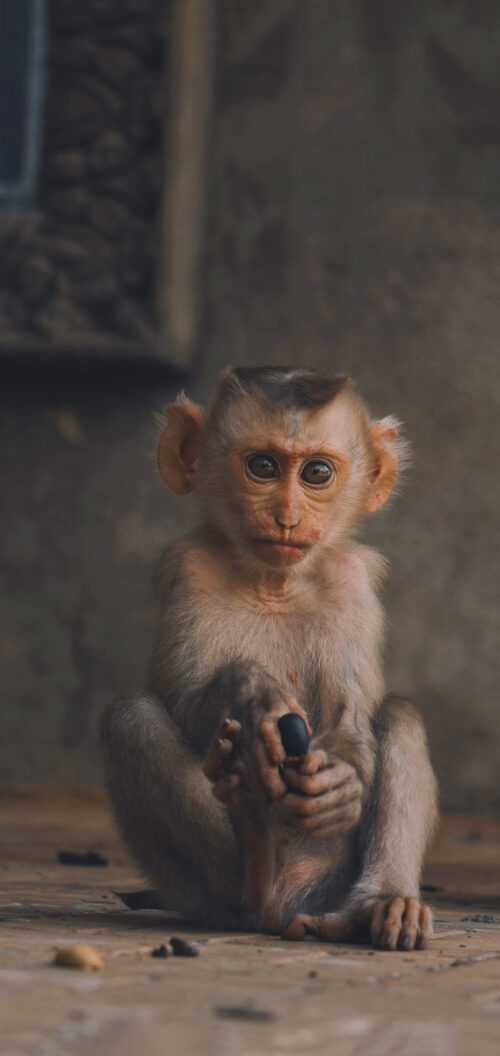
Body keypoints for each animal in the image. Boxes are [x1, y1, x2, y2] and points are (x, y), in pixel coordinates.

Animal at [102, 366, 438, 950]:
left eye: (317, 472)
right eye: (262, 466)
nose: (287, 516)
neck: (274, 583)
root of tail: (287, 906)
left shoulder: (351, 582)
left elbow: (352, 718)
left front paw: (341, 785)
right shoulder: (190, 567)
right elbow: (183, 696)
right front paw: (250, 690)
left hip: (328, 878)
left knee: (399, 714)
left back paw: (379, 907)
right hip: (194, 893)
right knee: (130, 718)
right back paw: (253, 861)